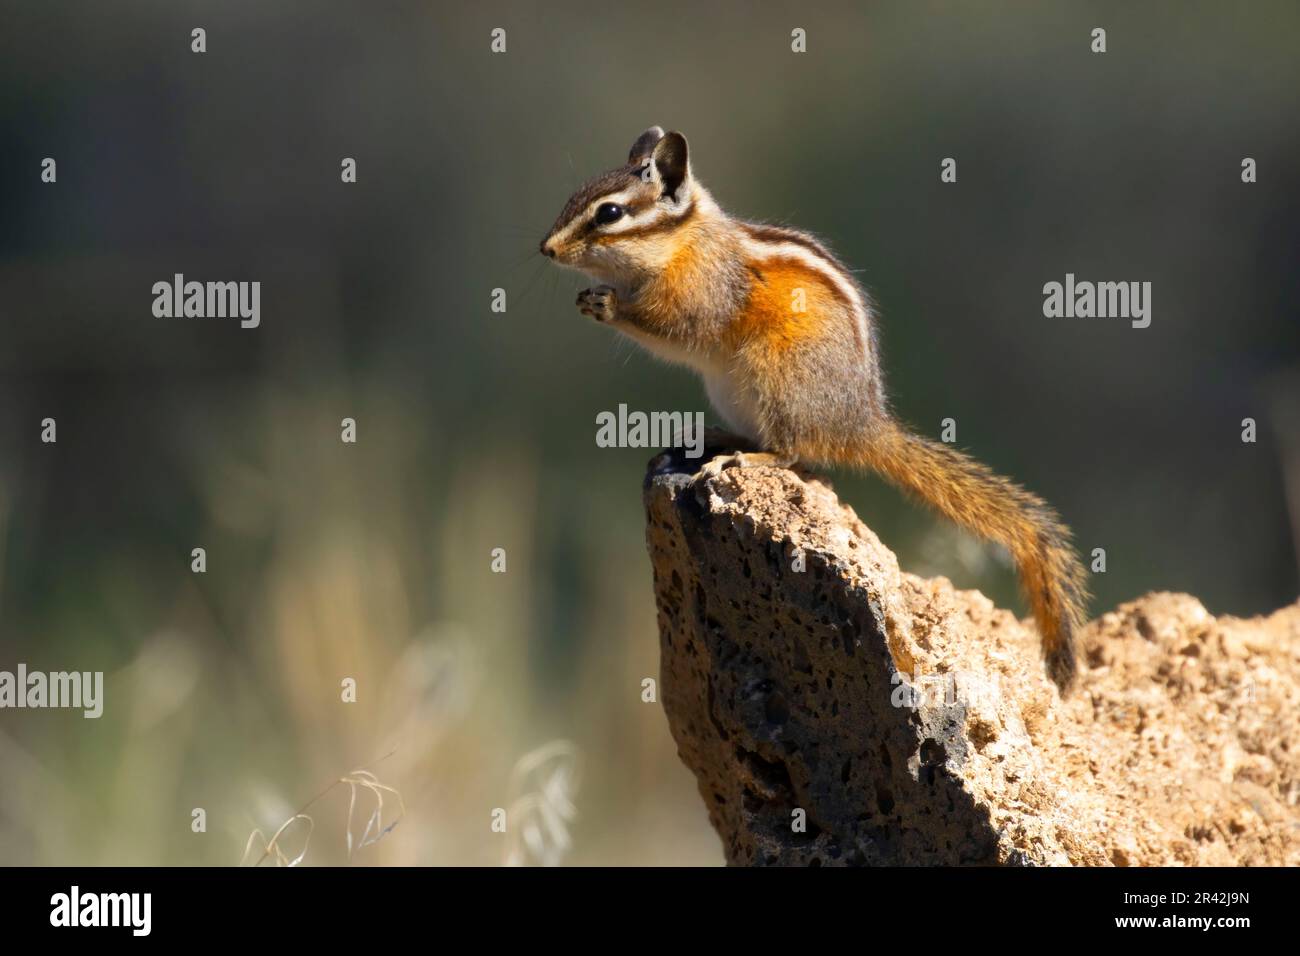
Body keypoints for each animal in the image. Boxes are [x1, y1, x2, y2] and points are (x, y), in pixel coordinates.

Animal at [540, 126, 1089, 692]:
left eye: (609, 214)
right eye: (576, 197)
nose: (547, 248)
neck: (683, 241)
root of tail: (863, 425)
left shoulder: (704, 295)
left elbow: (674, 328)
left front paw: (607, 306)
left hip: (777, 376)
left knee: (791, 454)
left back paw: (746, 459)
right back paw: (721, 440)